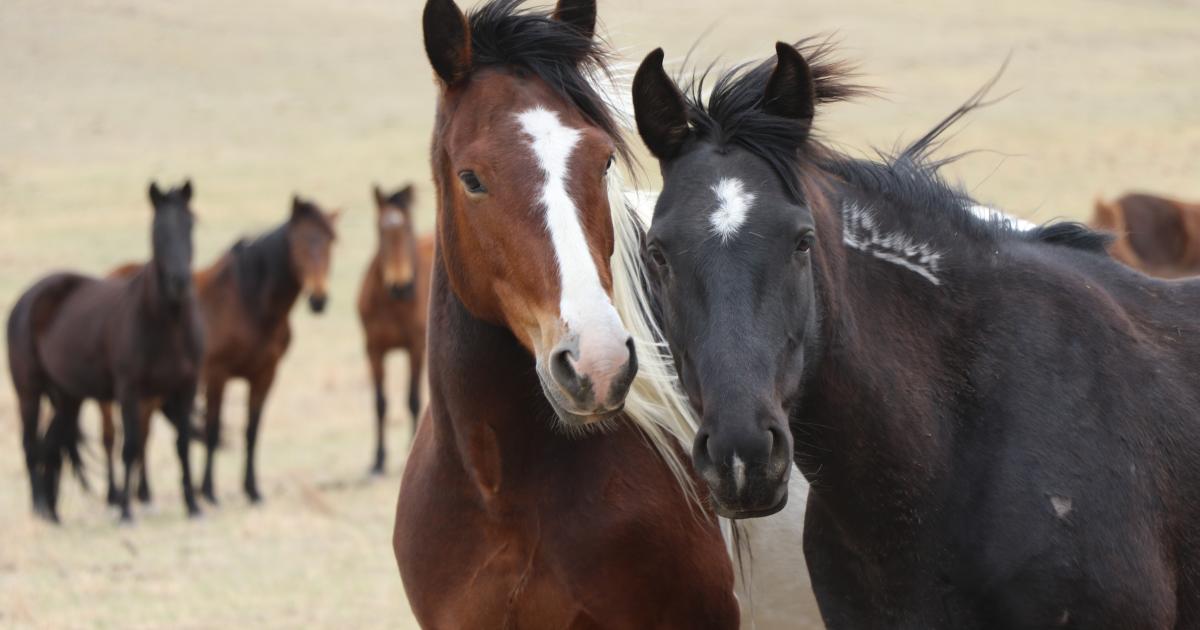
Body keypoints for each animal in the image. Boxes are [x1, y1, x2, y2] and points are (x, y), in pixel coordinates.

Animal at [7, 181, 203, 522]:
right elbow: (131, 446)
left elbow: (181, 445)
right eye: (157, 229)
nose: (178, 281)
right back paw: (40, 508)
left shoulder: (185, 388)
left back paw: (53, 514)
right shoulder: (129, 390)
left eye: (190, 224)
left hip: (67, 397)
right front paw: (125, 511)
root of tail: (26, 299)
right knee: (31, 445)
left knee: (51, 445)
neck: (167, 326)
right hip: (29, 392)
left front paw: (192, 505)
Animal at [357, 184, 434, 474]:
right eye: (380, 229)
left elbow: (412, 400)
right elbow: (380, 402)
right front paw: (378, 460)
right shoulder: (373, 349)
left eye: (409, 227)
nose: (401, 286)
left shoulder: (415, 348)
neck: (392, 303)